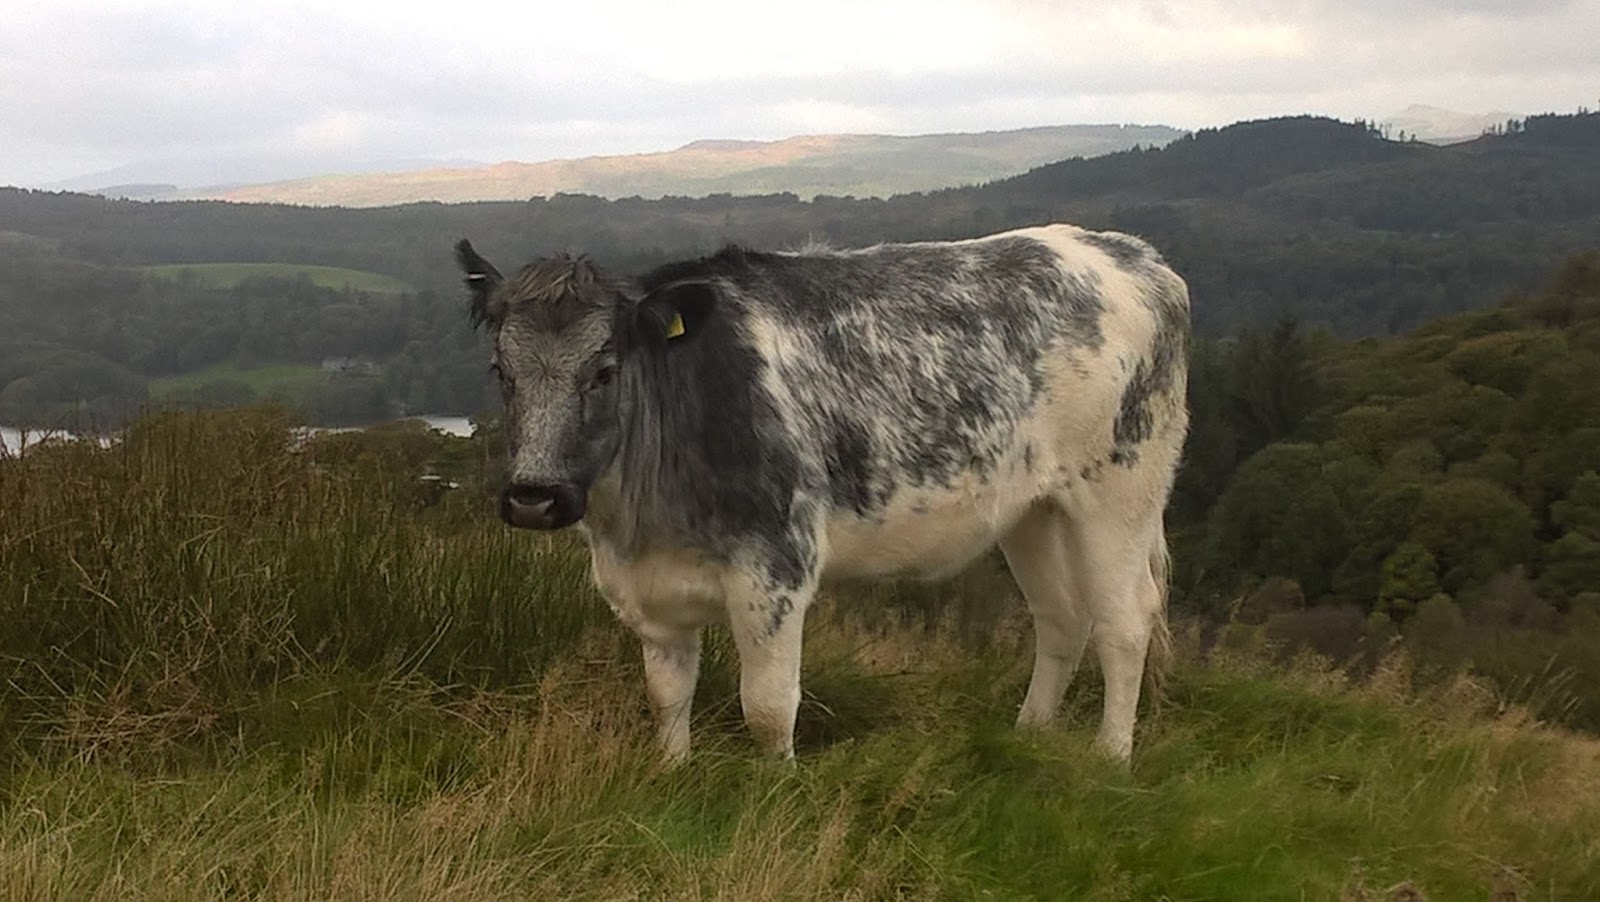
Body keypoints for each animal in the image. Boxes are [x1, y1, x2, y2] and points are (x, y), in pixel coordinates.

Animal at [454, 223, 1190, 764]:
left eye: (605, 370)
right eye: (500, 370)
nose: (533, 497)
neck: (638, 524)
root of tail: (1132, 256)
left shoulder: (775, 570)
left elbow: (768, 707)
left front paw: (772, 791)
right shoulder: (649, 590)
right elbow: (667, 694)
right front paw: (673, 771)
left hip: (1121, 487)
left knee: (1125, 622)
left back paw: (1110, 757)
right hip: (1032, 508)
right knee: (1062, 616)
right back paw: (1029, 734)